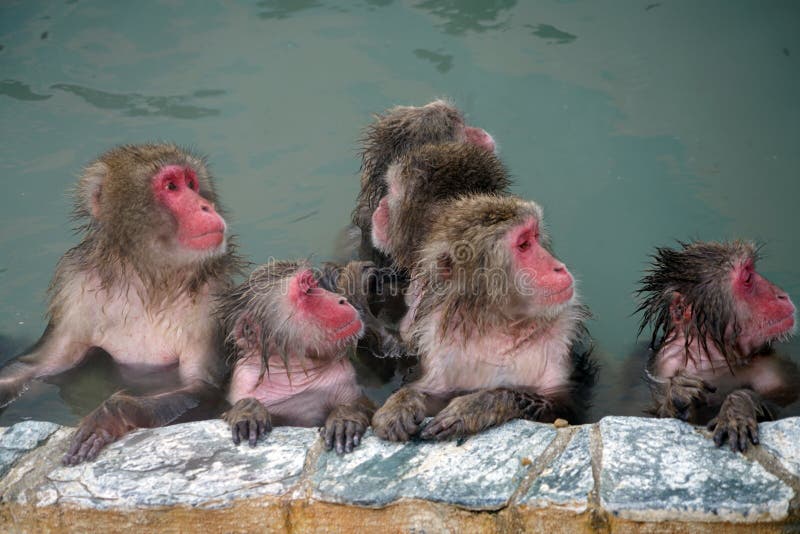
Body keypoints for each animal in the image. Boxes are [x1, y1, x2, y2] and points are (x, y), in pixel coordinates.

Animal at [0, 143, 241, 465]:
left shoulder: (214, 300)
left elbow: (202, 389)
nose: (206, 206)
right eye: (172, 186)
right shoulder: (73, 289)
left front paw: (112, 414)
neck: (149, 277)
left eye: (191, 184)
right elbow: (39, 365)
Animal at [219, 260, 375, 454]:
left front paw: (346, 417)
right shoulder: (242, 381)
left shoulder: (344, 375)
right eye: (308, 291)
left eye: (315, 285)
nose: (341, 300)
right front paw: (248, 410)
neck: (295, 371)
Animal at [371, 194, 596, 442]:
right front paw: (400, 404)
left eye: (535, 237)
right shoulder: (438, 348)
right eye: (524, 244)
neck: (498, 325)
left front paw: (479, 406)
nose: (559, 267)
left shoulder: (562, 341)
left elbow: (564, 411)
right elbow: (430, 392)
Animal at [636, 241, 798, 452]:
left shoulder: (772, 370)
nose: (781, 296)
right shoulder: (665, 365)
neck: (713, 358)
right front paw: (679, 395)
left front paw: (737, 407)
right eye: (748, 278)